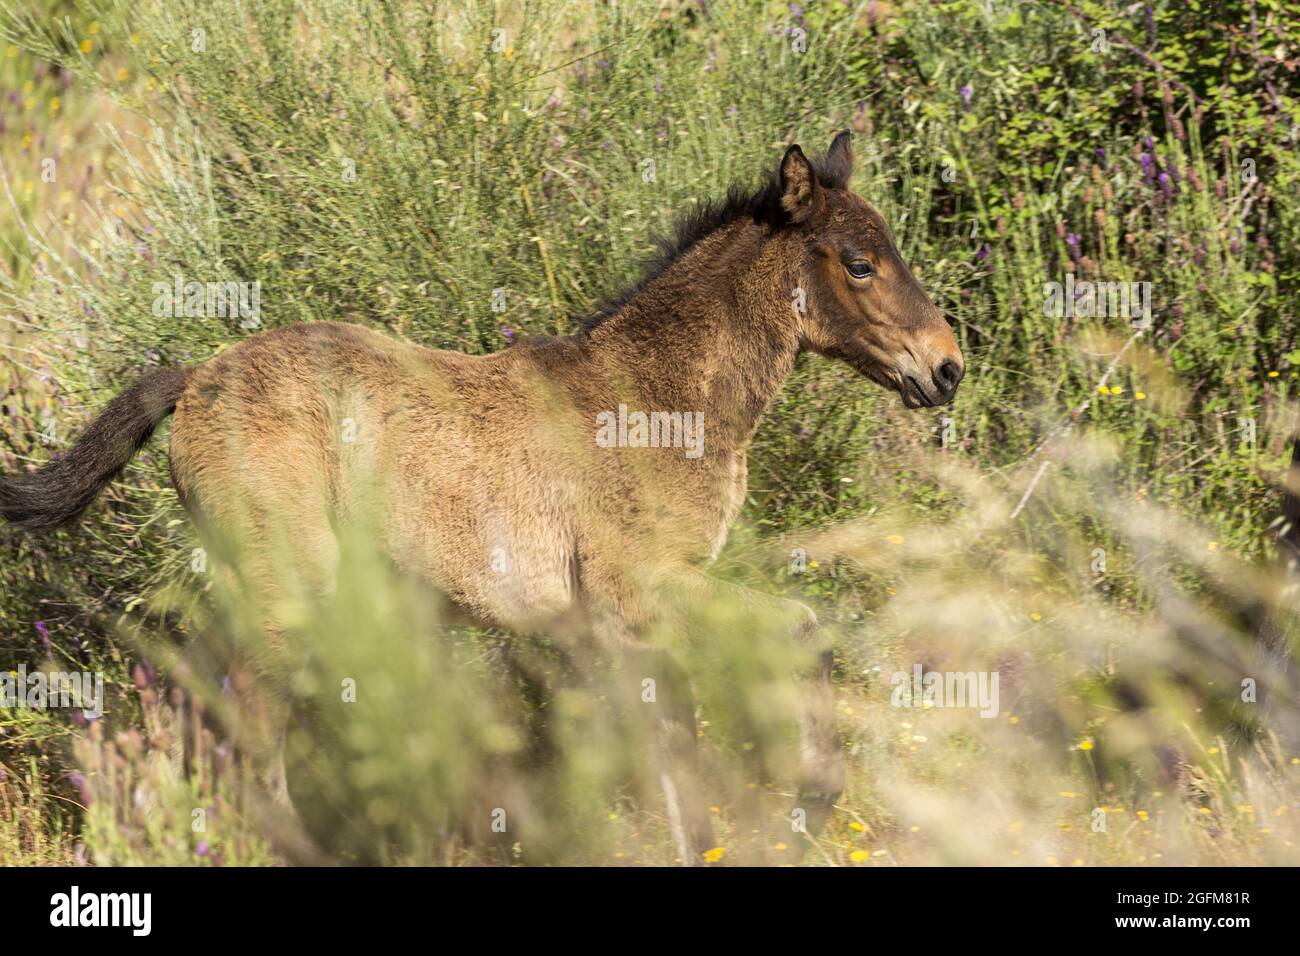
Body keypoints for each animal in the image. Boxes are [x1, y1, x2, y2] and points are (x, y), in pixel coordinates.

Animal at [0, 130, 964, 863]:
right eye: (860, 263)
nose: (948, 368)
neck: (659, 394)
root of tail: (197, 379)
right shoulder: (641, 591)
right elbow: (802, 628)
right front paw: (813, 797)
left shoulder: (625, 628)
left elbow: (673, 747)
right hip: (285, 598)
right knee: (249, 735)